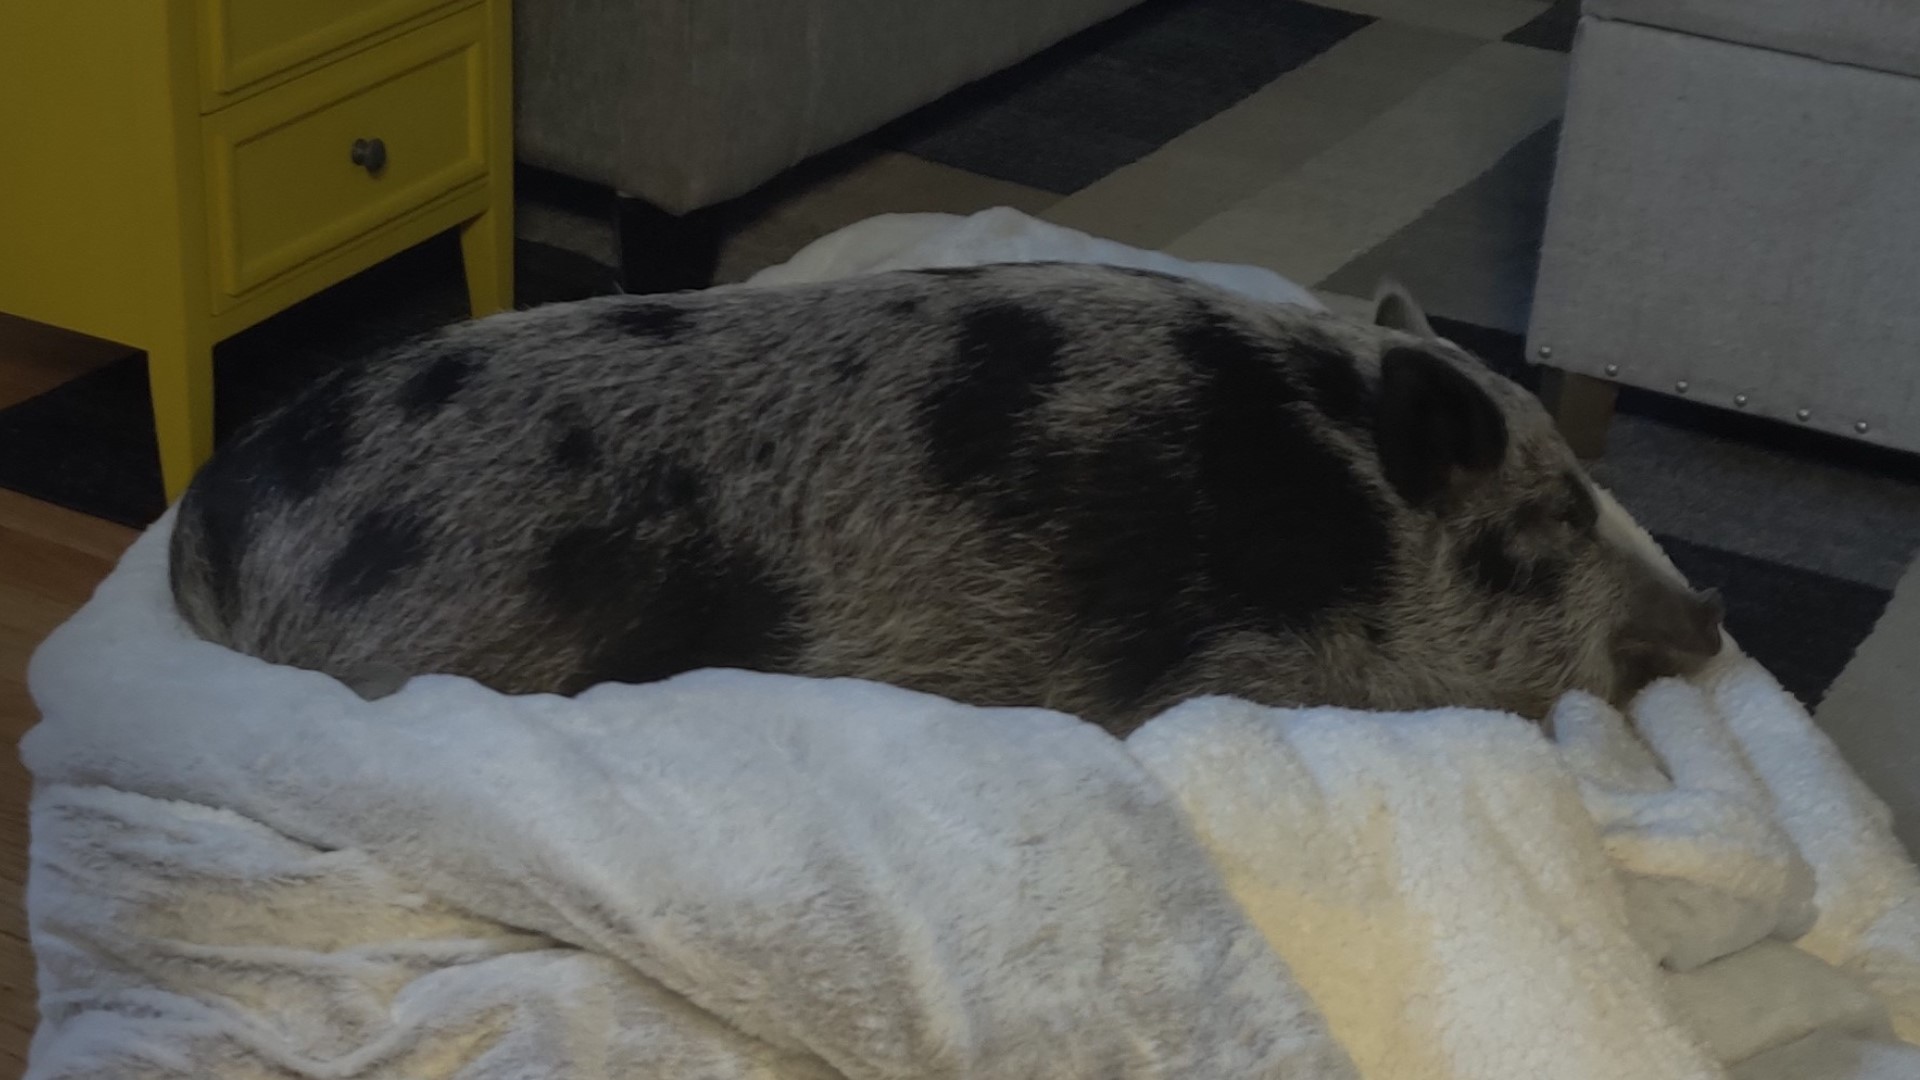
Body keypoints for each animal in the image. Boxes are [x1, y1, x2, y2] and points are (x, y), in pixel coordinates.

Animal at [167, 262, 1724, 735]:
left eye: (1597, 489)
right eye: (1560, 517)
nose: (1714, 616)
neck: (1356, 530)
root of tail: (208, 522)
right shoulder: (1244, 666)